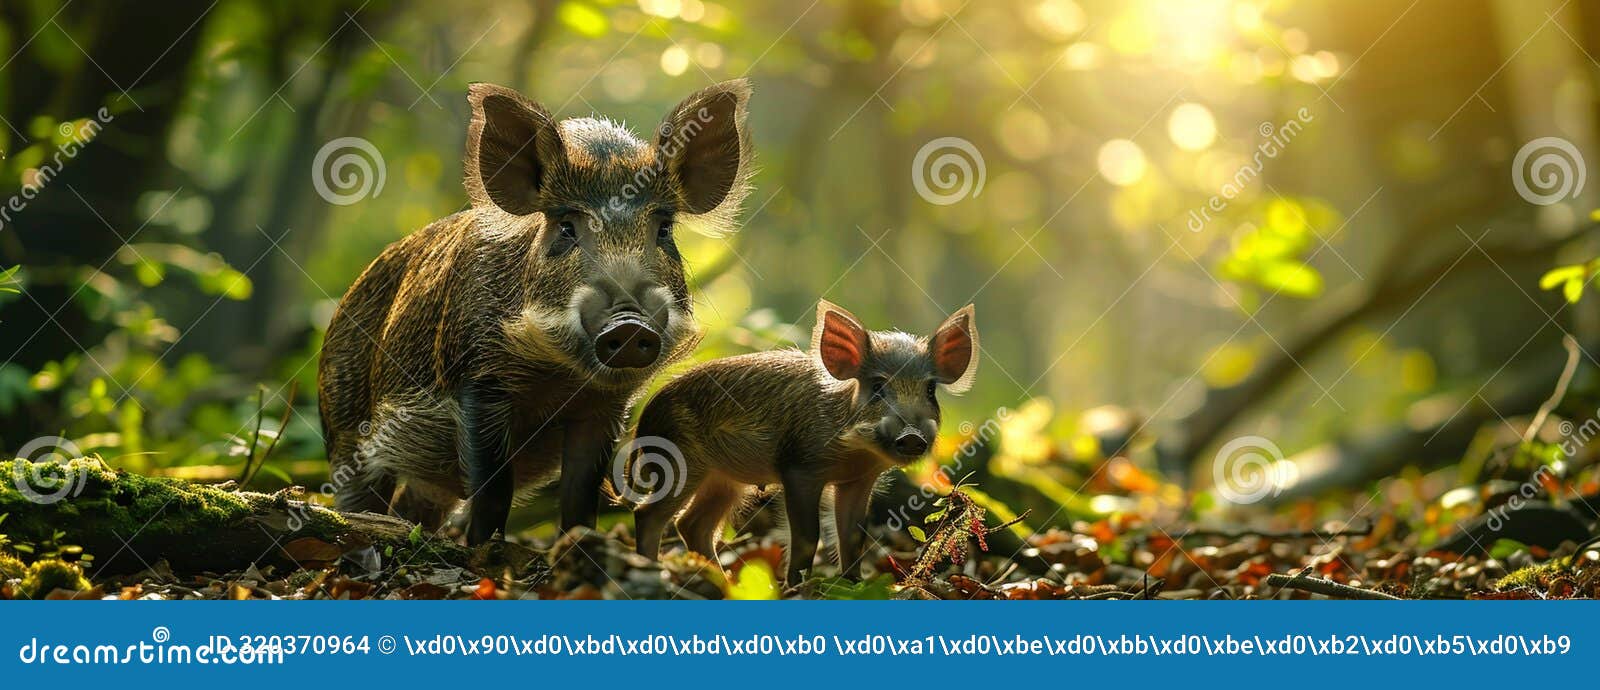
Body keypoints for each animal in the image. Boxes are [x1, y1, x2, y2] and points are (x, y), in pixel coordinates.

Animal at [317, 79, 754, 544]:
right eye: (566, 227)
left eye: (665, 229)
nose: (630, 324)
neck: (558, 376)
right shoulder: (479, 381)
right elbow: (494, 491)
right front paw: (486, 550)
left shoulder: (604, 406)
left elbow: (579, 497)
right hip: (343, 424)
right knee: (358, 493)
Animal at [627, 300, 978, 584]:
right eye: (877, 386)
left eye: (930, 390)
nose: (912, 437)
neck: (854, 452)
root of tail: (645, 417)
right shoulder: (799, 467)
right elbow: (809, 536)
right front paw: (796, 587)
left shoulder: (858, 480)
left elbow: (852, 537)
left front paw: (854, 585)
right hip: (682, 463)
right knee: (649, 515)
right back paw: (651, 569)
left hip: (723, 480)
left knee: (693, 525)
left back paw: (724, 581)